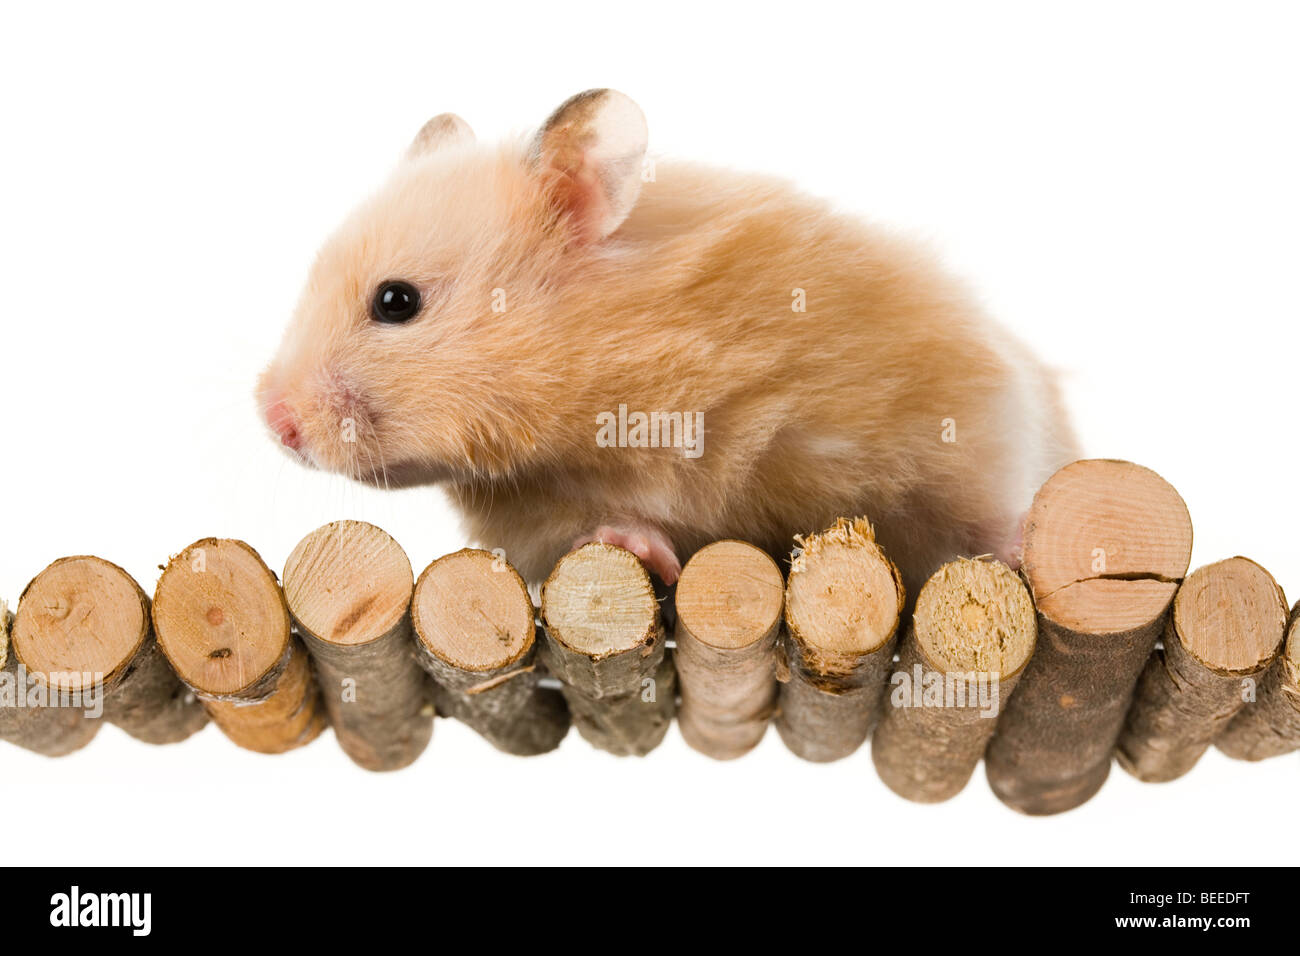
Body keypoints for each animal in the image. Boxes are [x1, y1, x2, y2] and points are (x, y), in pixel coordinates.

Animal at [258, 88, 1078, 597]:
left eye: (396, 302)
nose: (272, 420)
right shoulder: (539, 518)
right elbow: (599, 530)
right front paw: (638, 544)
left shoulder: (964, 397)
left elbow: (982, 499)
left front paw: (1021, 546)